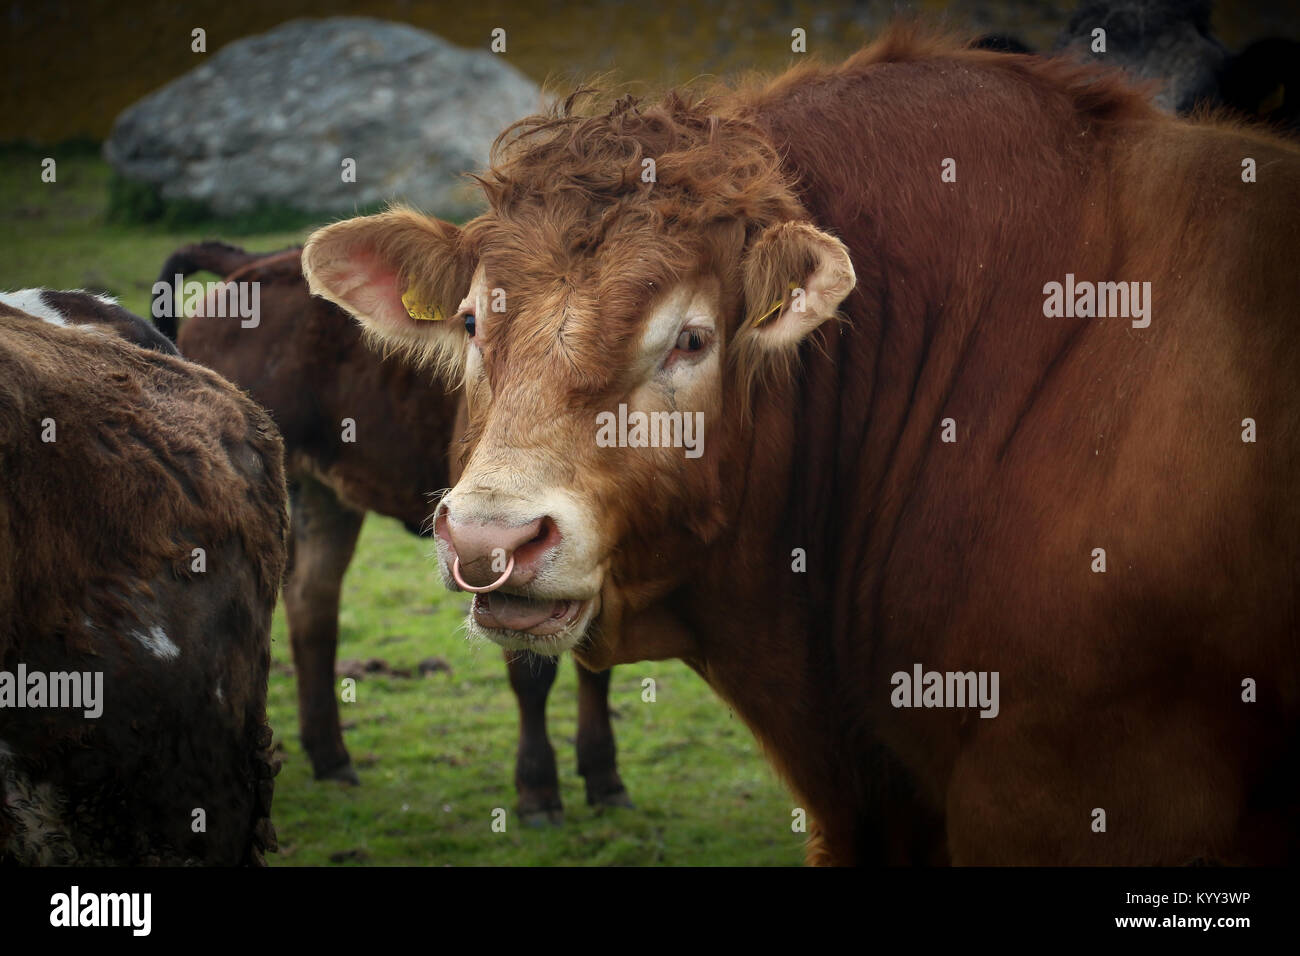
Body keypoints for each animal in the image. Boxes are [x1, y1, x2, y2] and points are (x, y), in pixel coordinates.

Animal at [154, 244, 630, 820]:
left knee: (312, 605)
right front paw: (538, 791)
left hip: (321, 496)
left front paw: (604, 777)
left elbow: (598, 665)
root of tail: (253, 263)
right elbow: (532, 672)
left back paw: (331, 756)